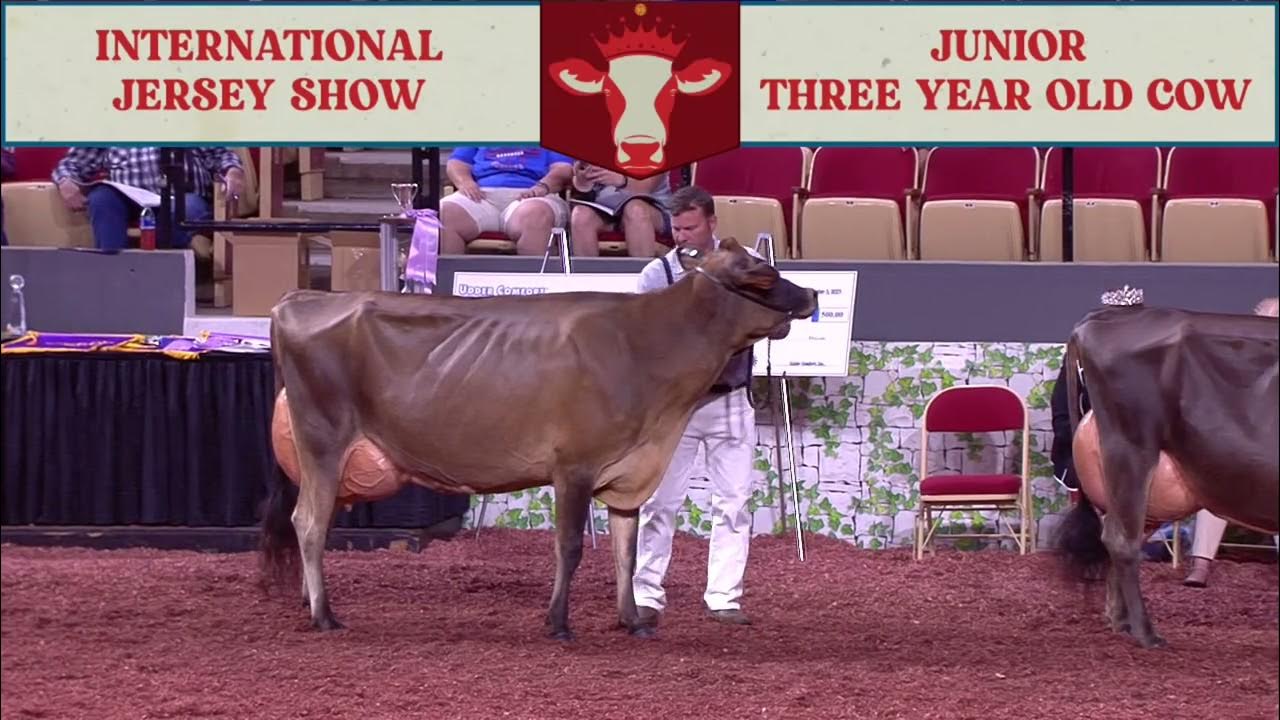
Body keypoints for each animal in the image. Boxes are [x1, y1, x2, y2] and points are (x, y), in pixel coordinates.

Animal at [258, 238, 819, 641]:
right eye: (764, 274)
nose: (812, 296)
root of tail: (300, 298)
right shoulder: (574, 466)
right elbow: (569, 546)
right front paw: (558, 622)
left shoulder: (629, 473)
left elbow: (626, 548)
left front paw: (632, 620)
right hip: (323, 441)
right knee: (309, 522)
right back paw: (325, 615)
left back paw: (311, 604)